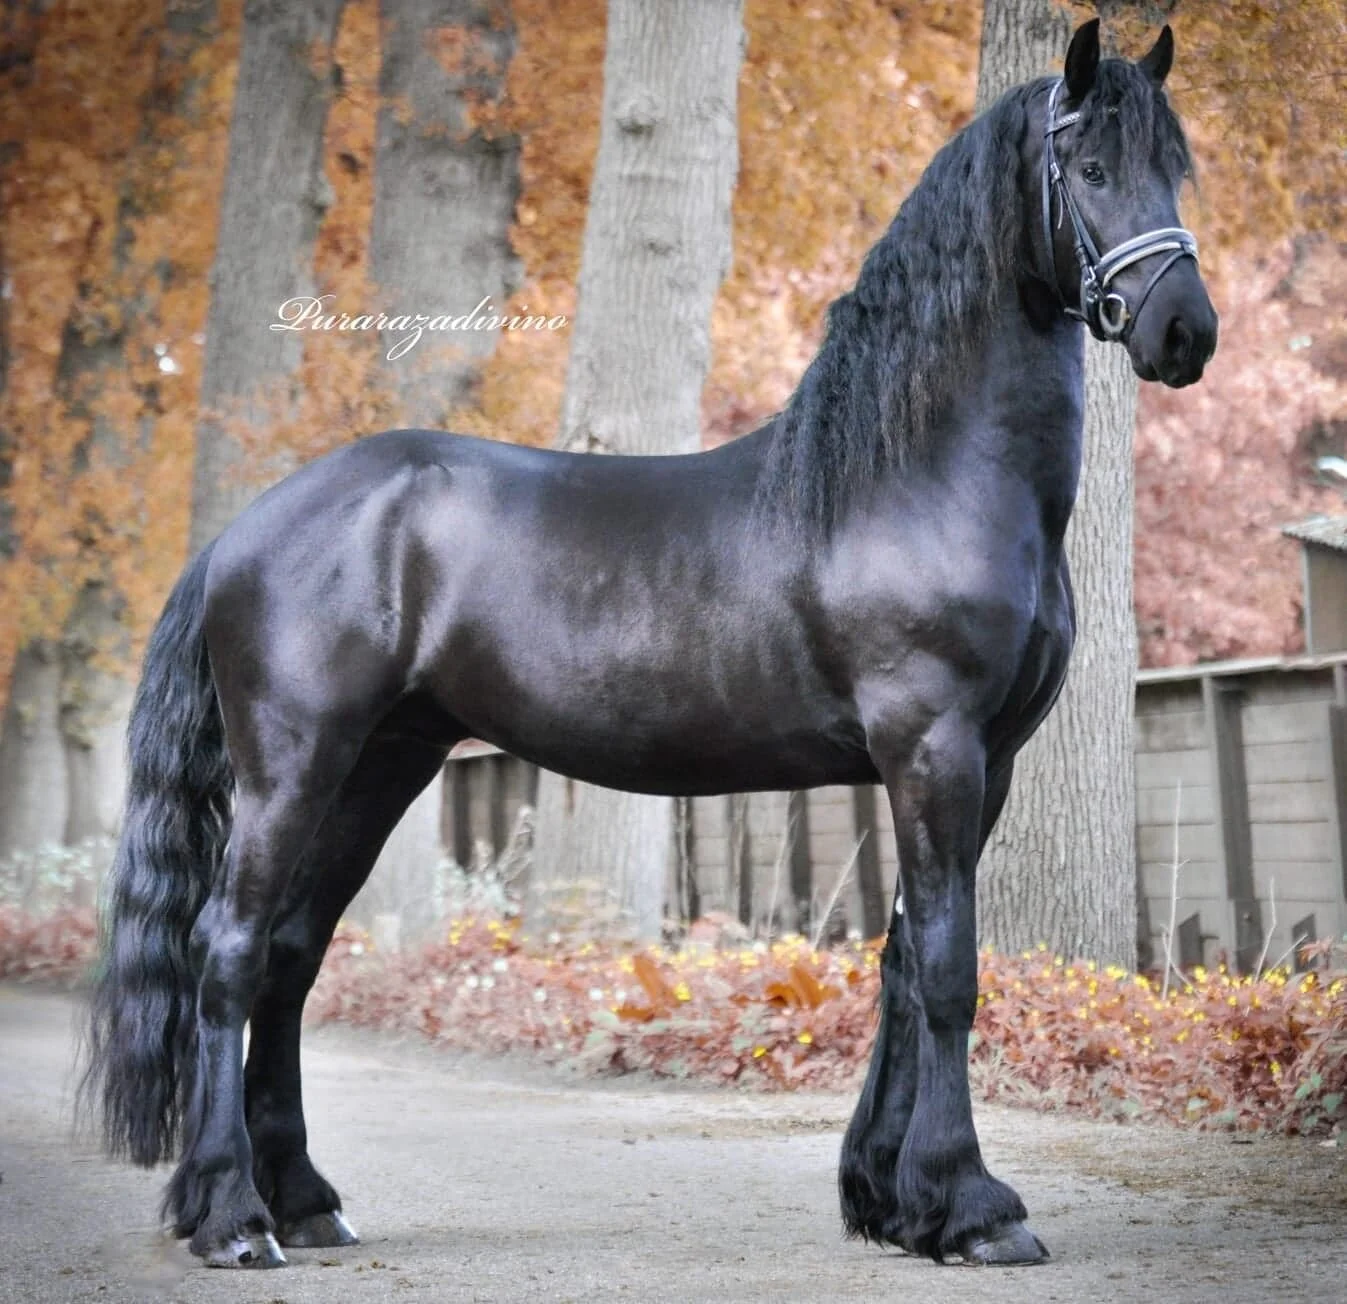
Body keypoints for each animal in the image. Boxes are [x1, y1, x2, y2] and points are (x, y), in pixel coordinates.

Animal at [82, 18, 1216, 1270]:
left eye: (1176, 168)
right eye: (1091, 168)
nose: (1185, 331)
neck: (917, 476)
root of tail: (246, 528)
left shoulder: (981, 760)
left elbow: (904, 961)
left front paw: (893, 1198)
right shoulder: (934, 746)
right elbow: (951, 968)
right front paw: (974, 1206)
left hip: (381, 764)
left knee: (289, 956)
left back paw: (303, 1199)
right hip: (292, 768)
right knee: (230, 951)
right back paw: (232, 1215)